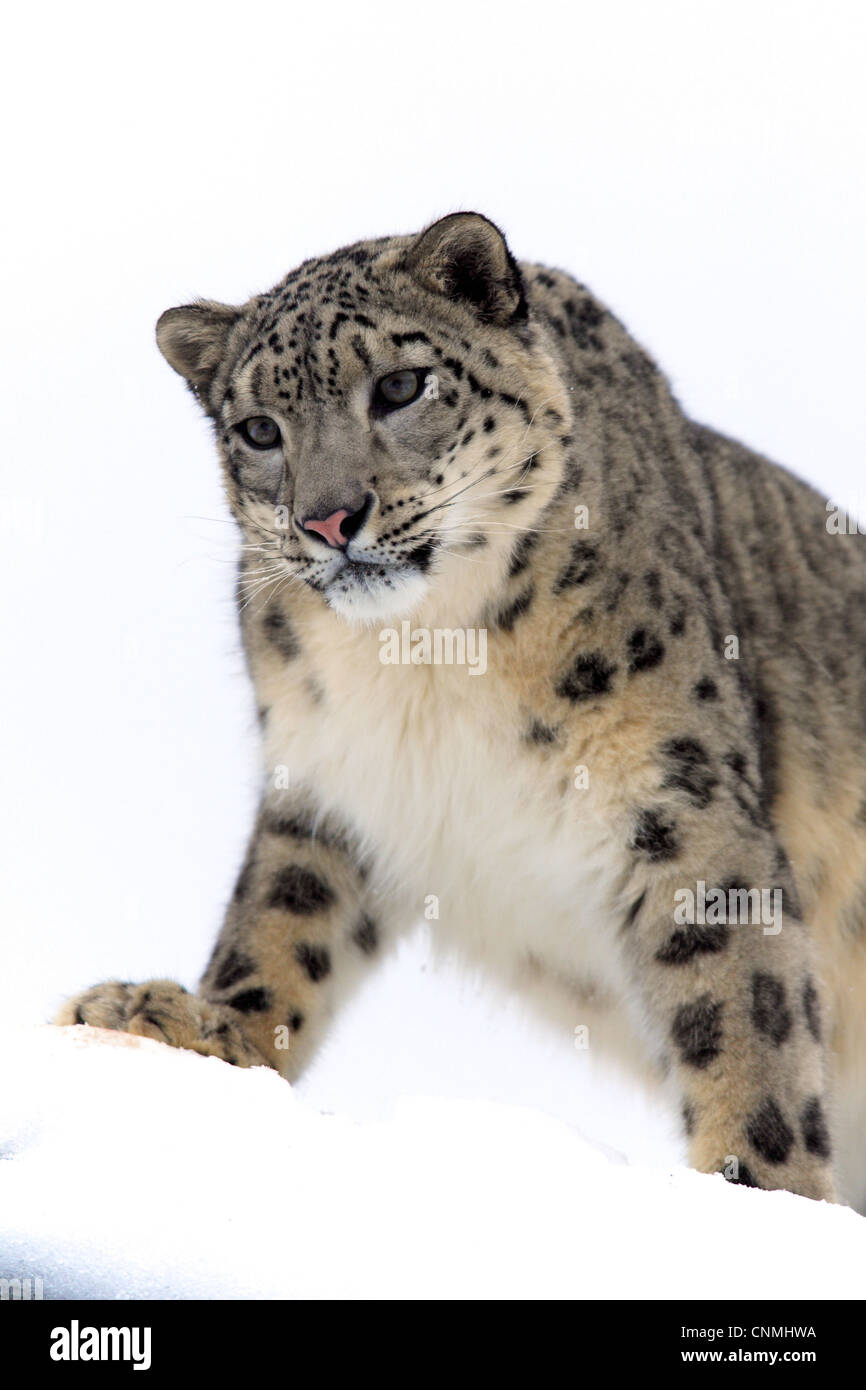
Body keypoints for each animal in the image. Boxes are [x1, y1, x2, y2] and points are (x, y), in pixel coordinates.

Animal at [57, 211, 866, 1210]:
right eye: (258, 428)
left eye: (401, 385)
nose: (329, 518)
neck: (424, 662)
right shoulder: (327, 786)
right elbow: (281, 922)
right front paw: (193, 1023)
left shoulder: (681, 796)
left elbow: (745, 1003)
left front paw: (758, 1185)